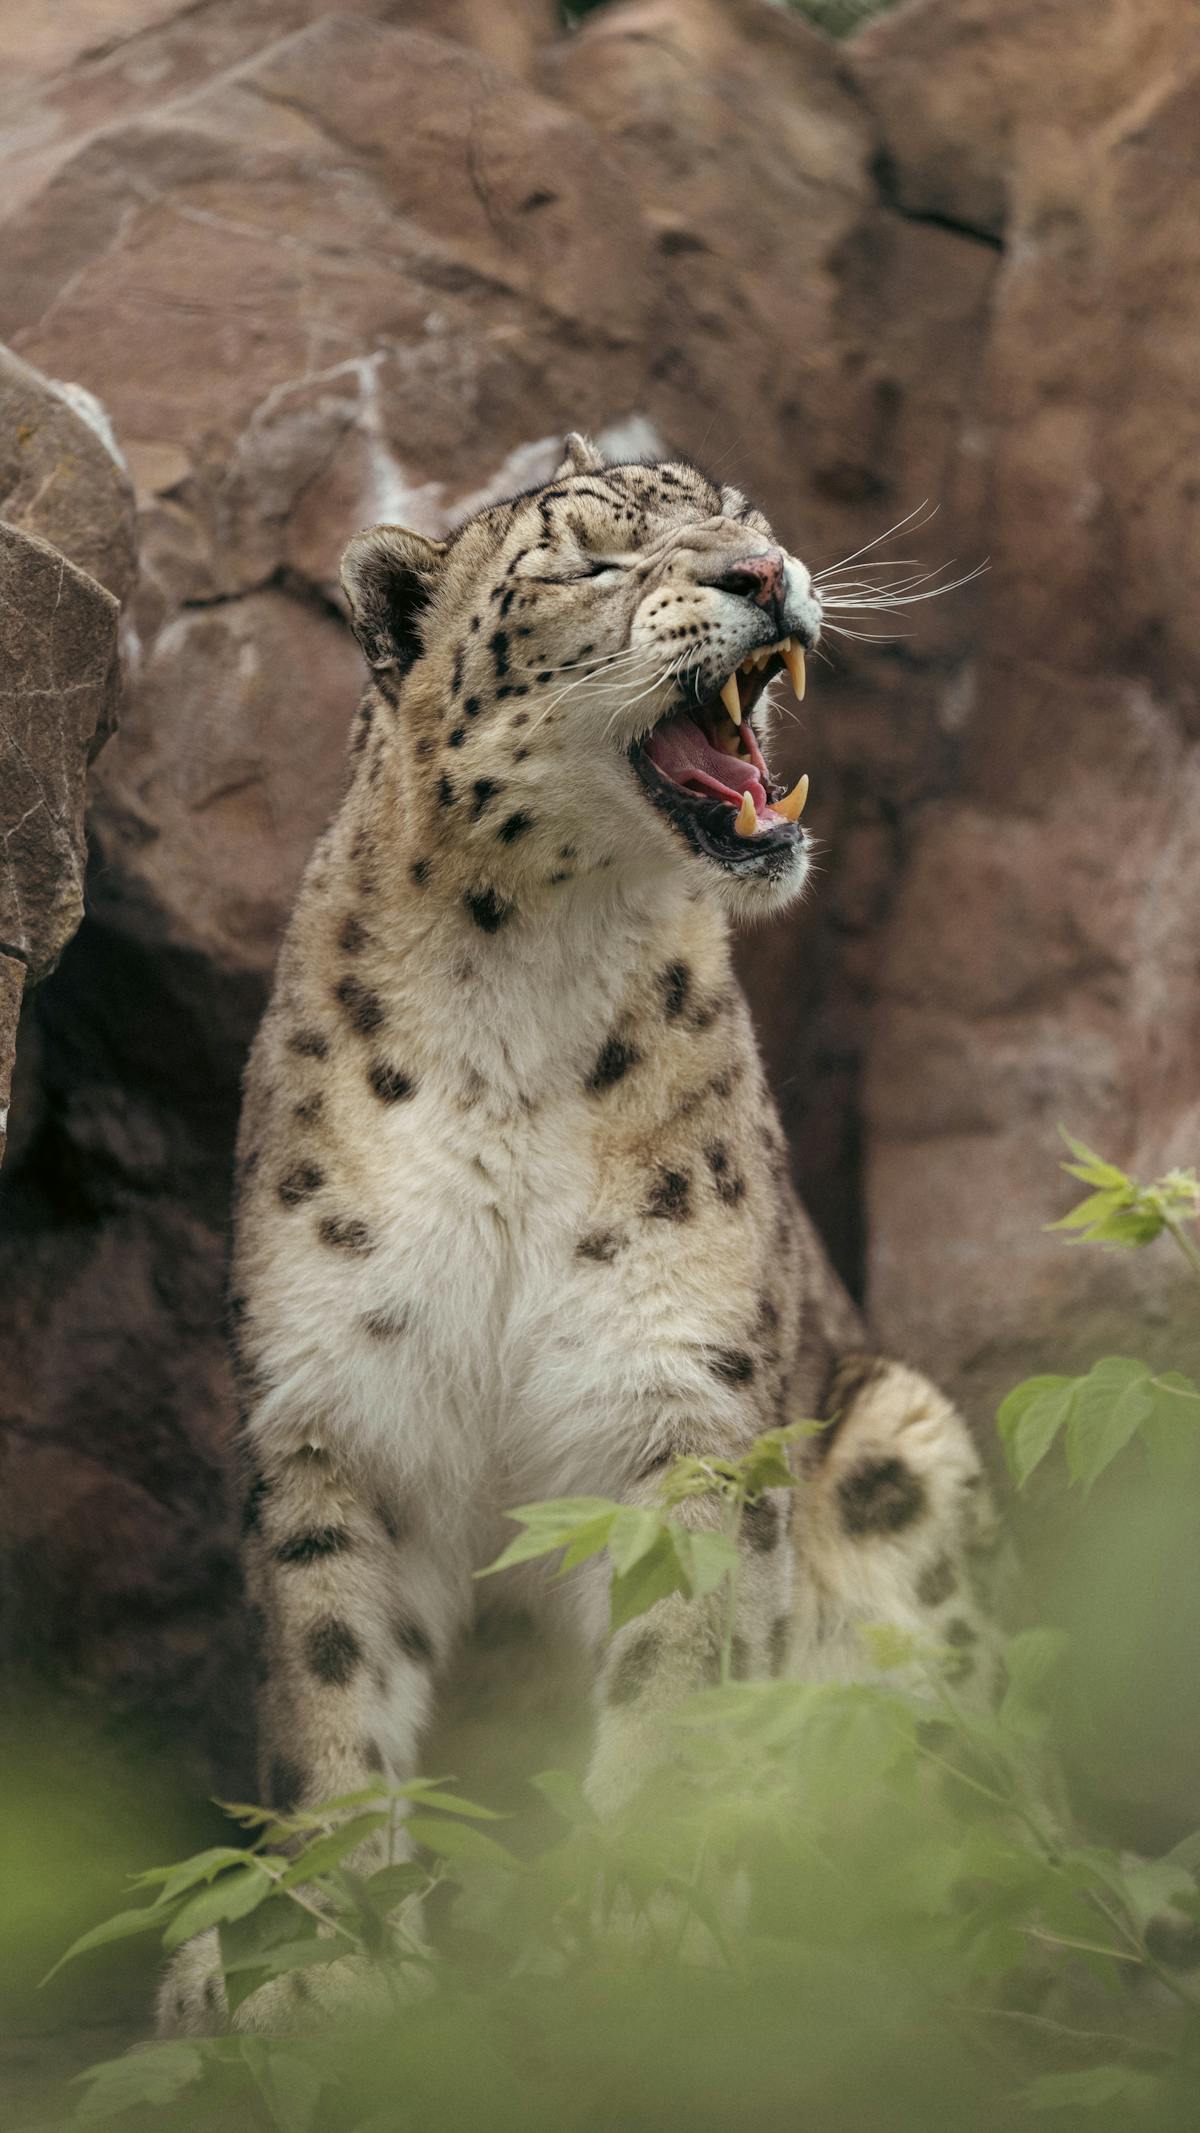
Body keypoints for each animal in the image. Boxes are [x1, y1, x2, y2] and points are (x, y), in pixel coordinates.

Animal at [158, 434, 1001, 2037]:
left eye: (739, 517)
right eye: (594, 560)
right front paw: (328, 1963)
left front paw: (636, 1939)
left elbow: (677, 1675)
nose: (764, 572)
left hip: (900, 1447)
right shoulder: (334, 1407)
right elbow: (329, 1691)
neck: (519, 994)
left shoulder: (675, 1399)